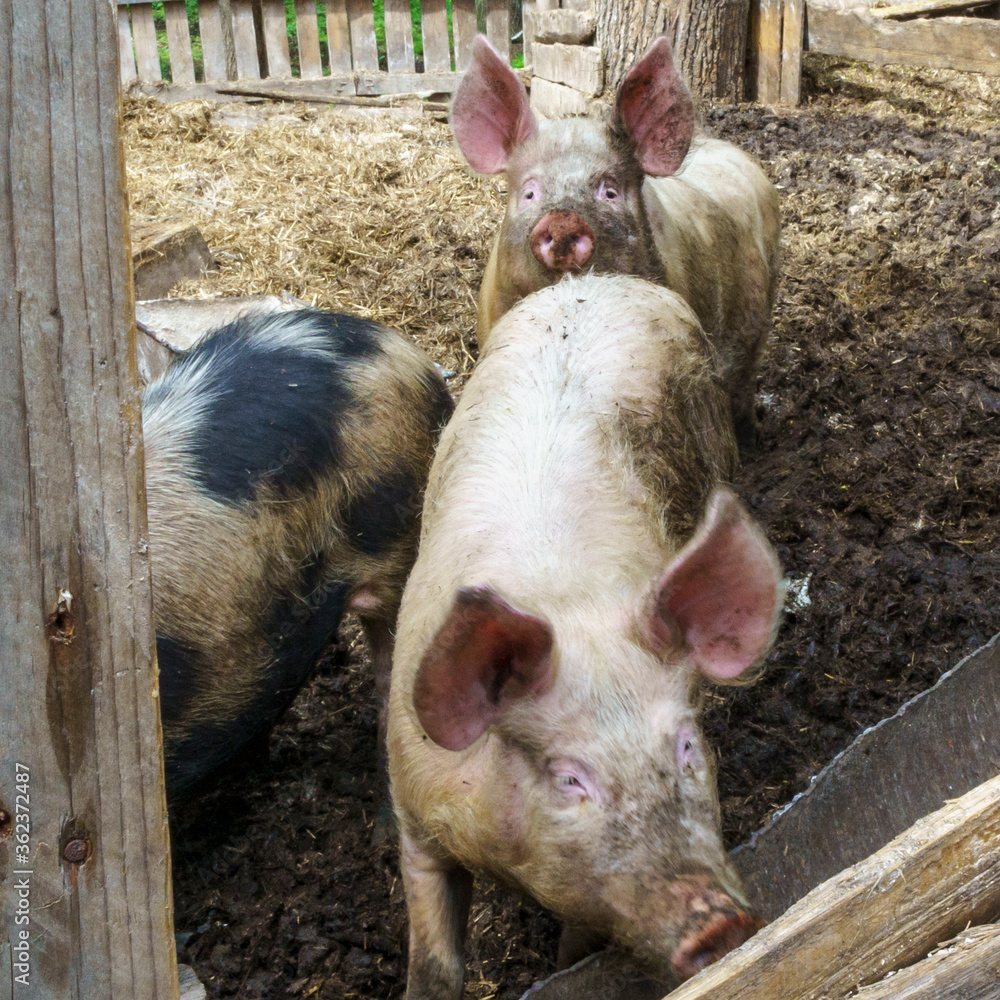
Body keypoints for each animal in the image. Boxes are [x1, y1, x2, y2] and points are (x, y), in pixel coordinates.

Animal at [388, 274, 783, 999]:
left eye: (688, 744)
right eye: (570, 778)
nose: (718, 921)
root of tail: (601, 281)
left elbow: (577, 946)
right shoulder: (412, 806)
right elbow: (433, 958)